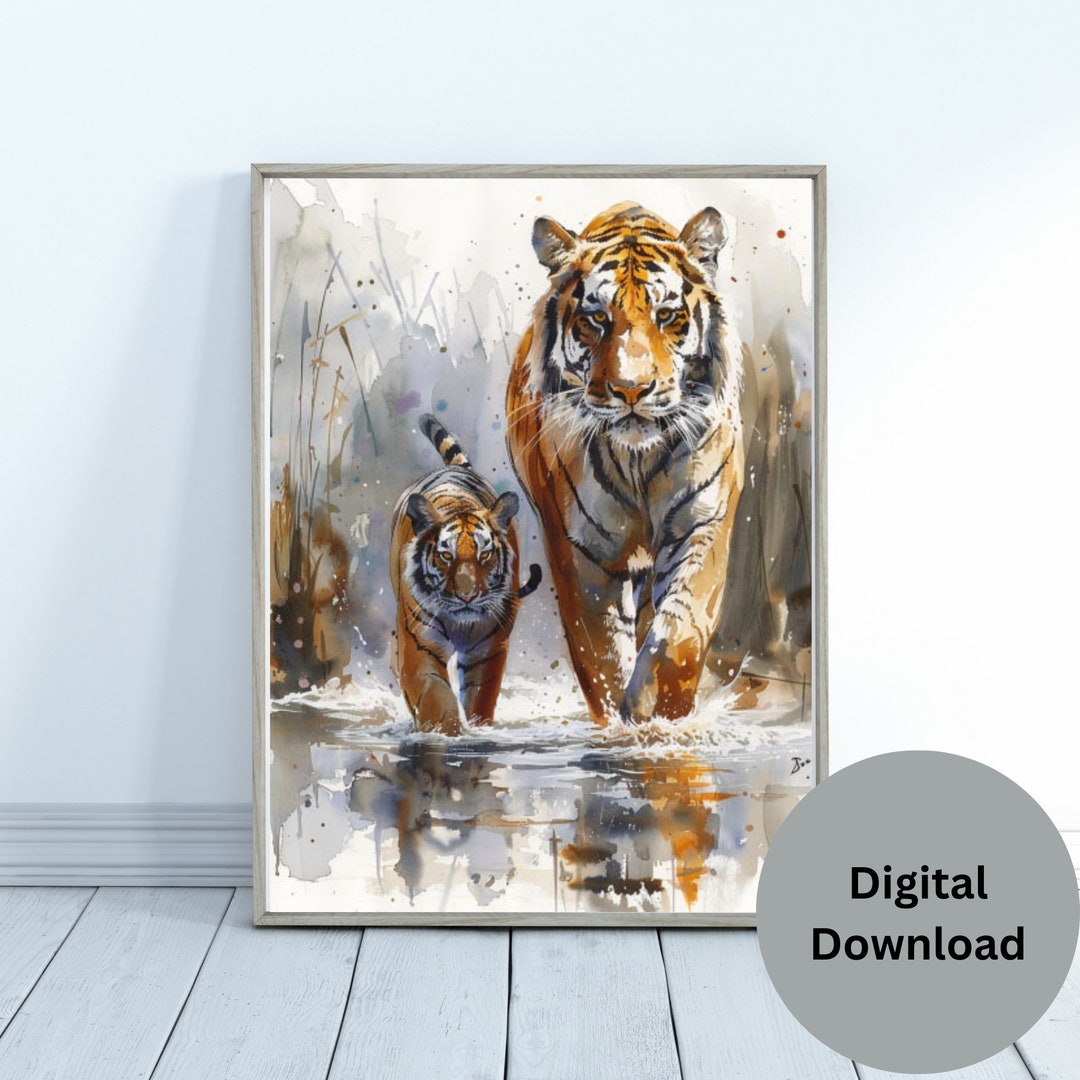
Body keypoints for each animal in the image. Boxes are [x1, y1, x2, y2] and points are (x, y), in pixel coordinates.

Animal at [390, 413, 542, 735]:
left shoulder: (488, 647)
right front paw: (447, 734)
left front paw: (476, 731)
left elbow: (479, 698)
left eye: (484, 554)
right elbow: (435, 698)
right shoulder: (419, 646)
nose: (467, 597)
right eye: (446, 555)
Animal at [505, 202, 744, 725]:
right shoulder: (582, 553)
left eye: (668, 315)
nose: (632, 391)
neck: (639, 461)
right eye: (596, 318)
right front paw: (620, 723)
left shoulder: (703, 526)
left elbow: (679, 638)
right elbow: (602, 659)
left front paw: (659, 717)